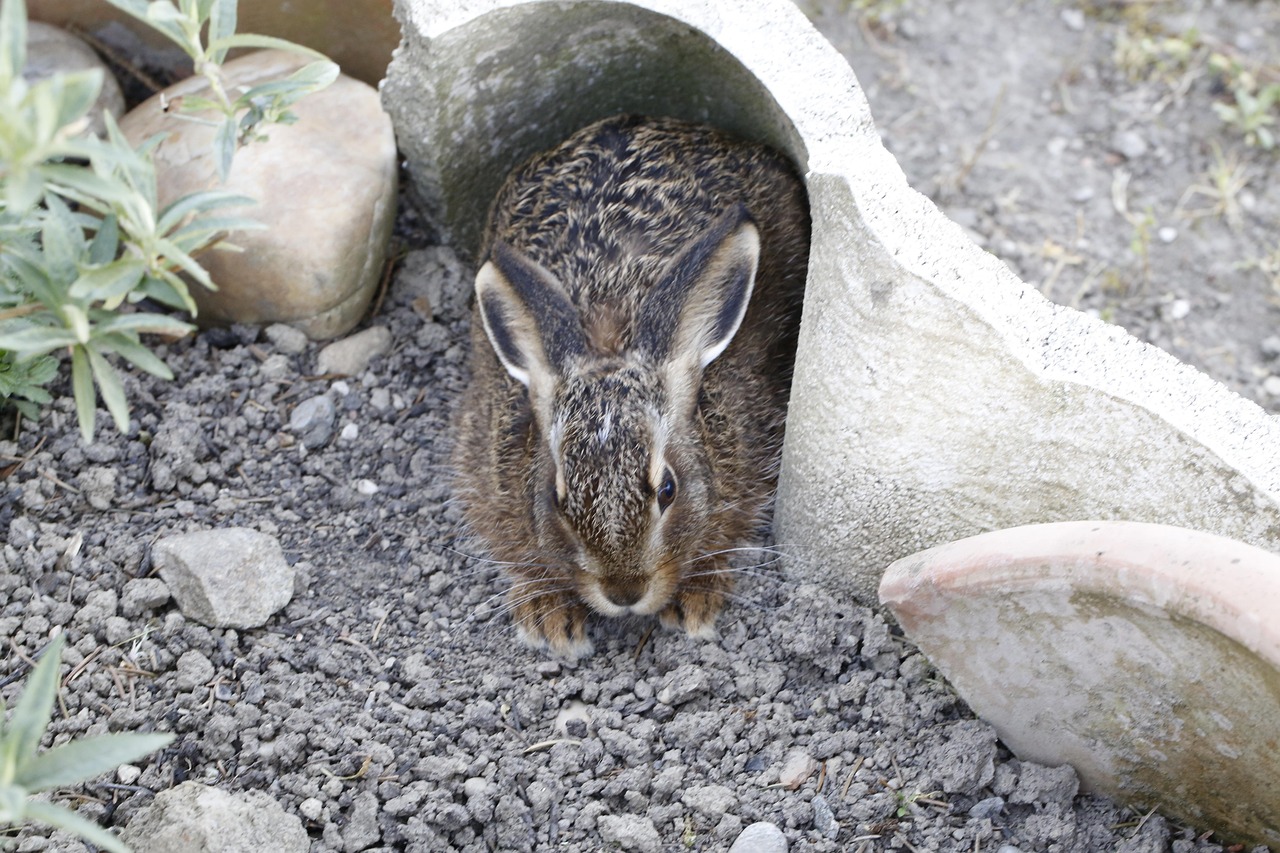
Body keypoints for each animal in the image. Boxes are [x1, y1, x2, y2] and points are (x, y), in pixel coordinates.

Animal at [453, 114, 810, 659]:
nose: (625, 592)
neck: (609, 340)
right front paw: (548, 616)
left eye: (668, 489)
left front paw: (695, 602)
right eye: (556, 496)